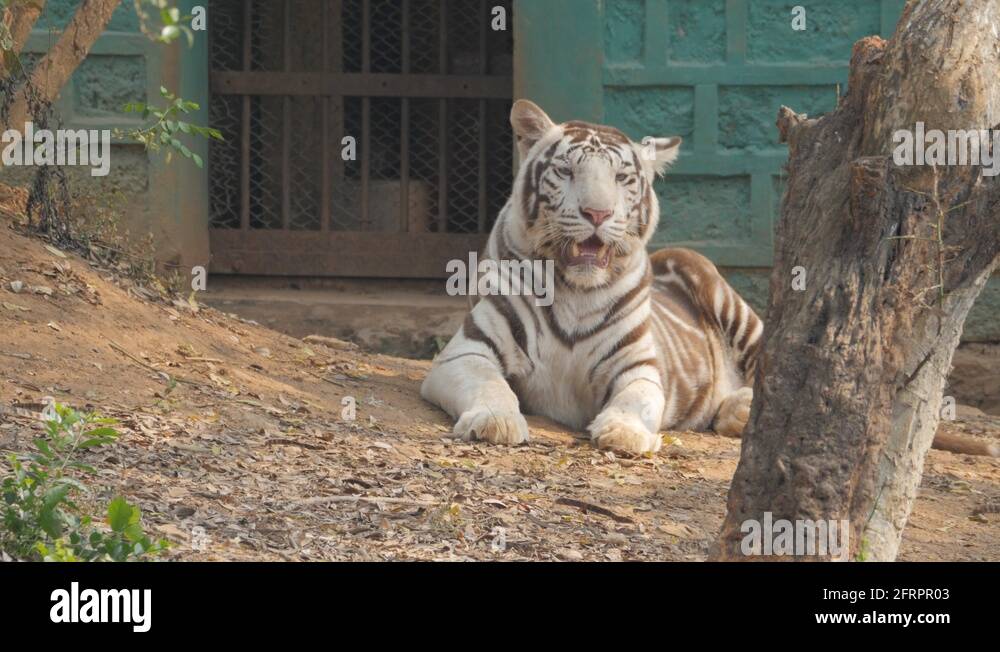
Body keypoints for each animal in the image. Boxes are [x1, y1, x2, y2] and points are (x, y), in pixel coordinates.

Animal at [420, 100, 760, 455]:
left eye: (621, 177)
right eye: (566, 171)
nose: (598, 213)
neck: (576, 291)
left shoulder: (636, 366)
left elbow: (635, 400)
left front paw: (624, 432)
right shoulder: (467, 351)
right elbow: (490, 385)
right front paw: (494, 421)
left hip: (714, 287)